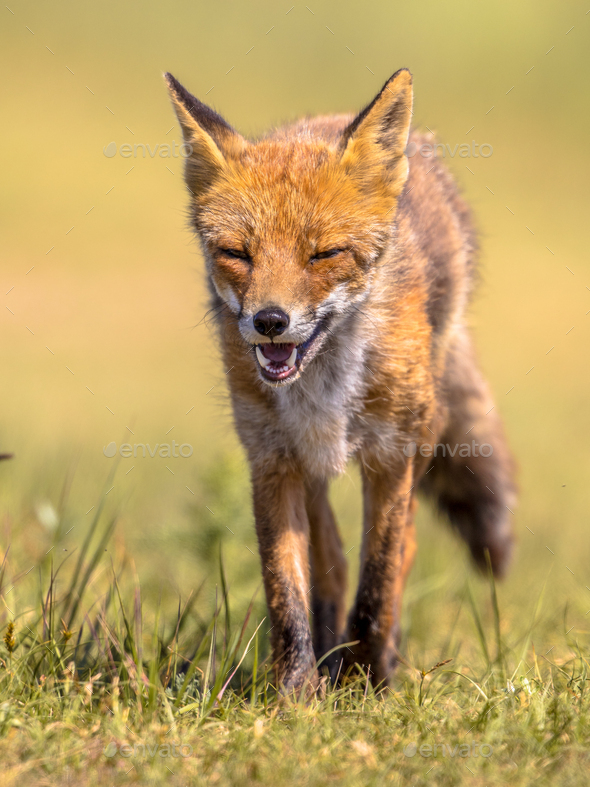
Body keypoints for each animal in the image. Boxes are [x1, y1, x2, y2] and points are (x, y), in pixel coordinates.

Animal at [165, 68, 516, 693]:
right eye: (237, 253)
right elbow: (287, 588)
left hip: (421, 433)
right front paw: (294, 693)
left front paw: (368, 681)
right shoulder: (272, 458)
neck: (324, 384)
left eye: (324, 253)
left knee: (401, 549)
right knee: (329, 559)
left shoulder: (391, 457)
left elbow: (379, 579)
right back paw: (329, 653)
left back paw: (373, 662)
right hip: (315, 465)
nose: (270, 321)